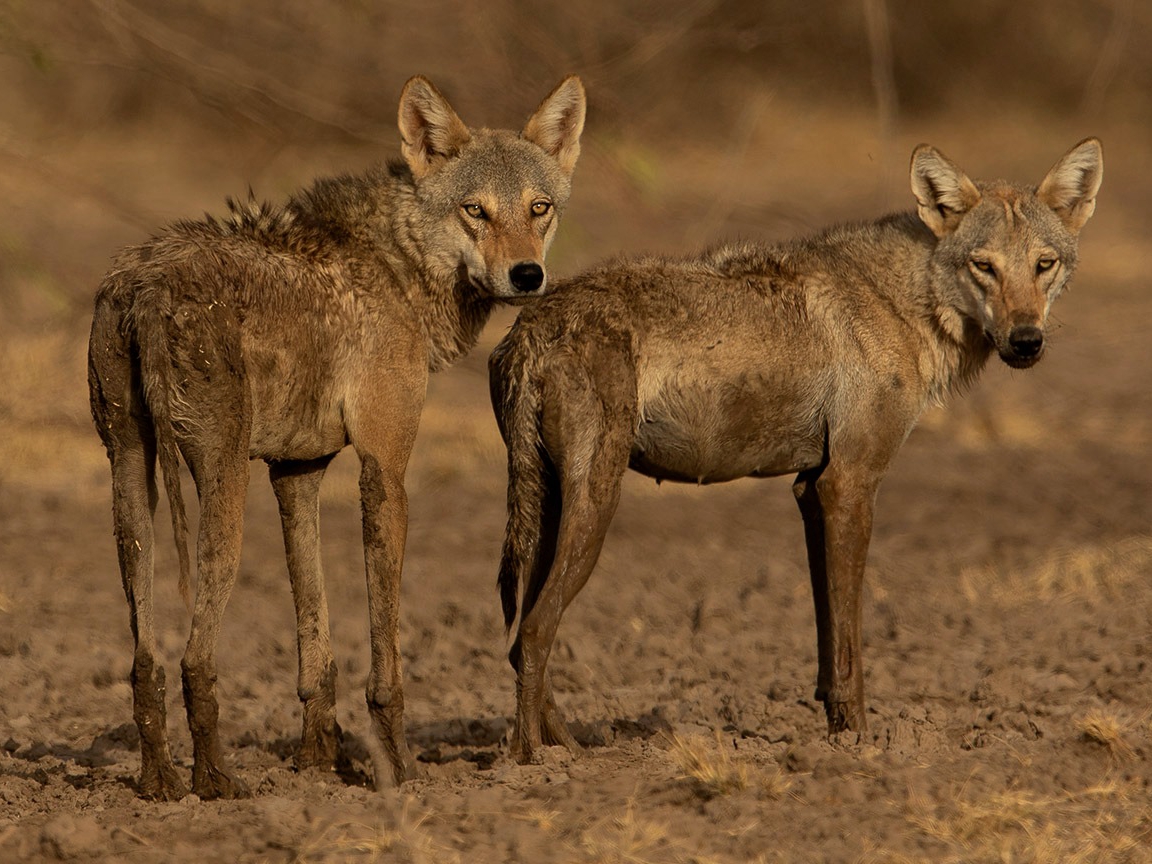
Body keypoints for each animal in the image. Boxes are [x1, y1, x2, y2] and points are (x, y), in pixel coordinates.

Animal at [87, 74, 586, 799]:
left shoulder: (298, 473)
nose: (527, 275)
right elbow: (384, 654)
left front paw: (321, 760)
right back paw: (215, 783)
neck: (399, 272)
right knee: (194, 657)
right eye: (475, 211)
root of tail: (145, 285)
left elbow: (315, 645)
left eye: (538, 208)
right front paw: (398, 769)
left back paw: (160, 783)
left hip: (129, 479)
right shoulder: (385, 469)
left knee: (143, 660)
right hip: (221, 490)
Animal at [489, 138, 1102, 763]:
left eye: (1044, 265)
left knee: (517, 638)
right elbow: (851, 643)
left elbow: (827, 637)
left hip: (550, 513)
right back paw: (534, 762)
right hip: (595, 506)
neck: (904, 301)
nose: (1026, 341)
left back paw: (566, 747)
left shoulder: (811, 489)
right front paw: (860, 742)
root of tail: (528, 329)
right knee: (533, 632)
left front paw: (835, 730)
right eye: (984, 265)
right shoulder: (849, 483)